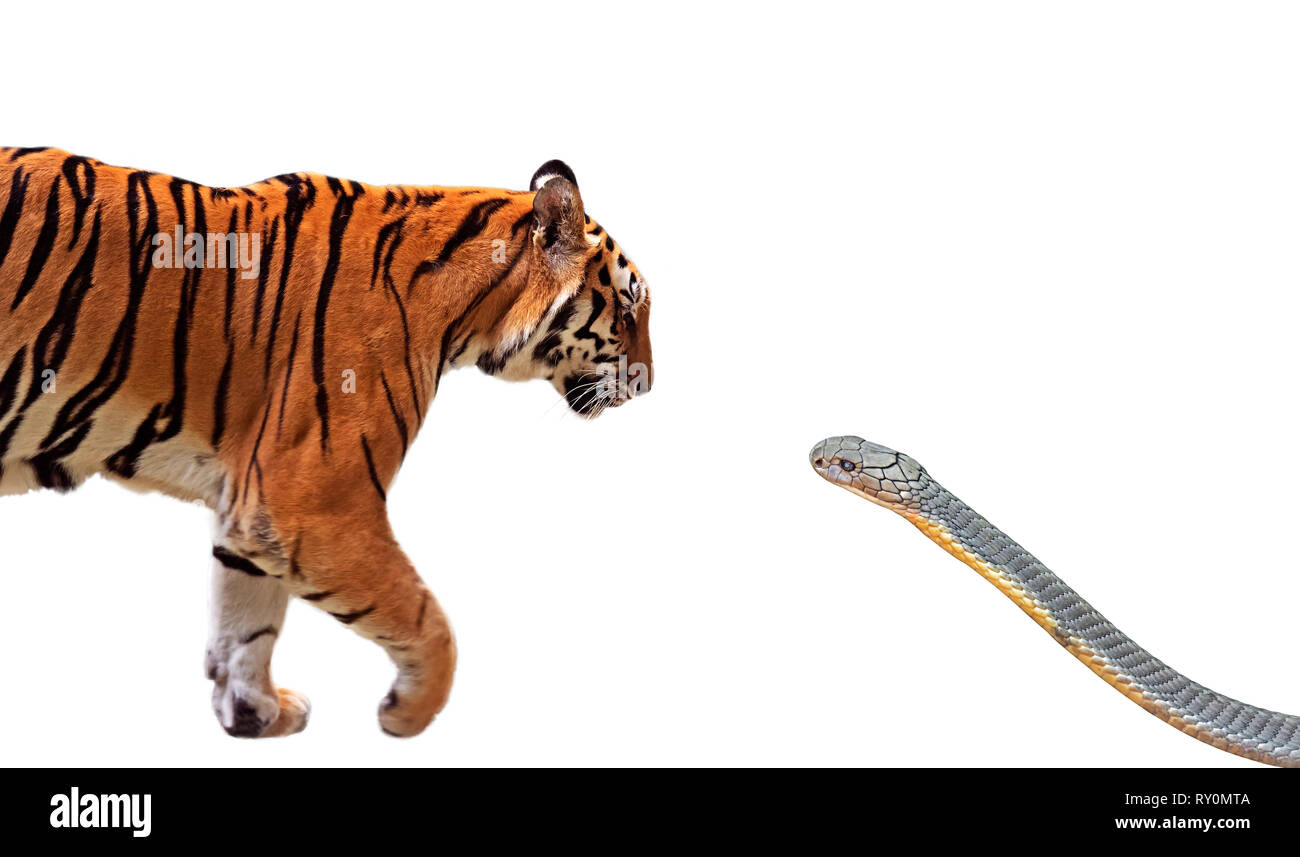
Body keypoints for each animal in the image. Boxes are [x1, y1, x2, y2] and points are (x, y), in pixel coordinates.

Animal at [0, 147, 653, 738]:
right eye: (627, 309)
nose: (650, 384)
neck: (468, 311)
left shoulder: (252, 502)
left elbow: (247, 622)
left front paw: (255, 714)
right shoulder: (314, 503)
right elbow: (425, 616)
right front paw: (407, 713)